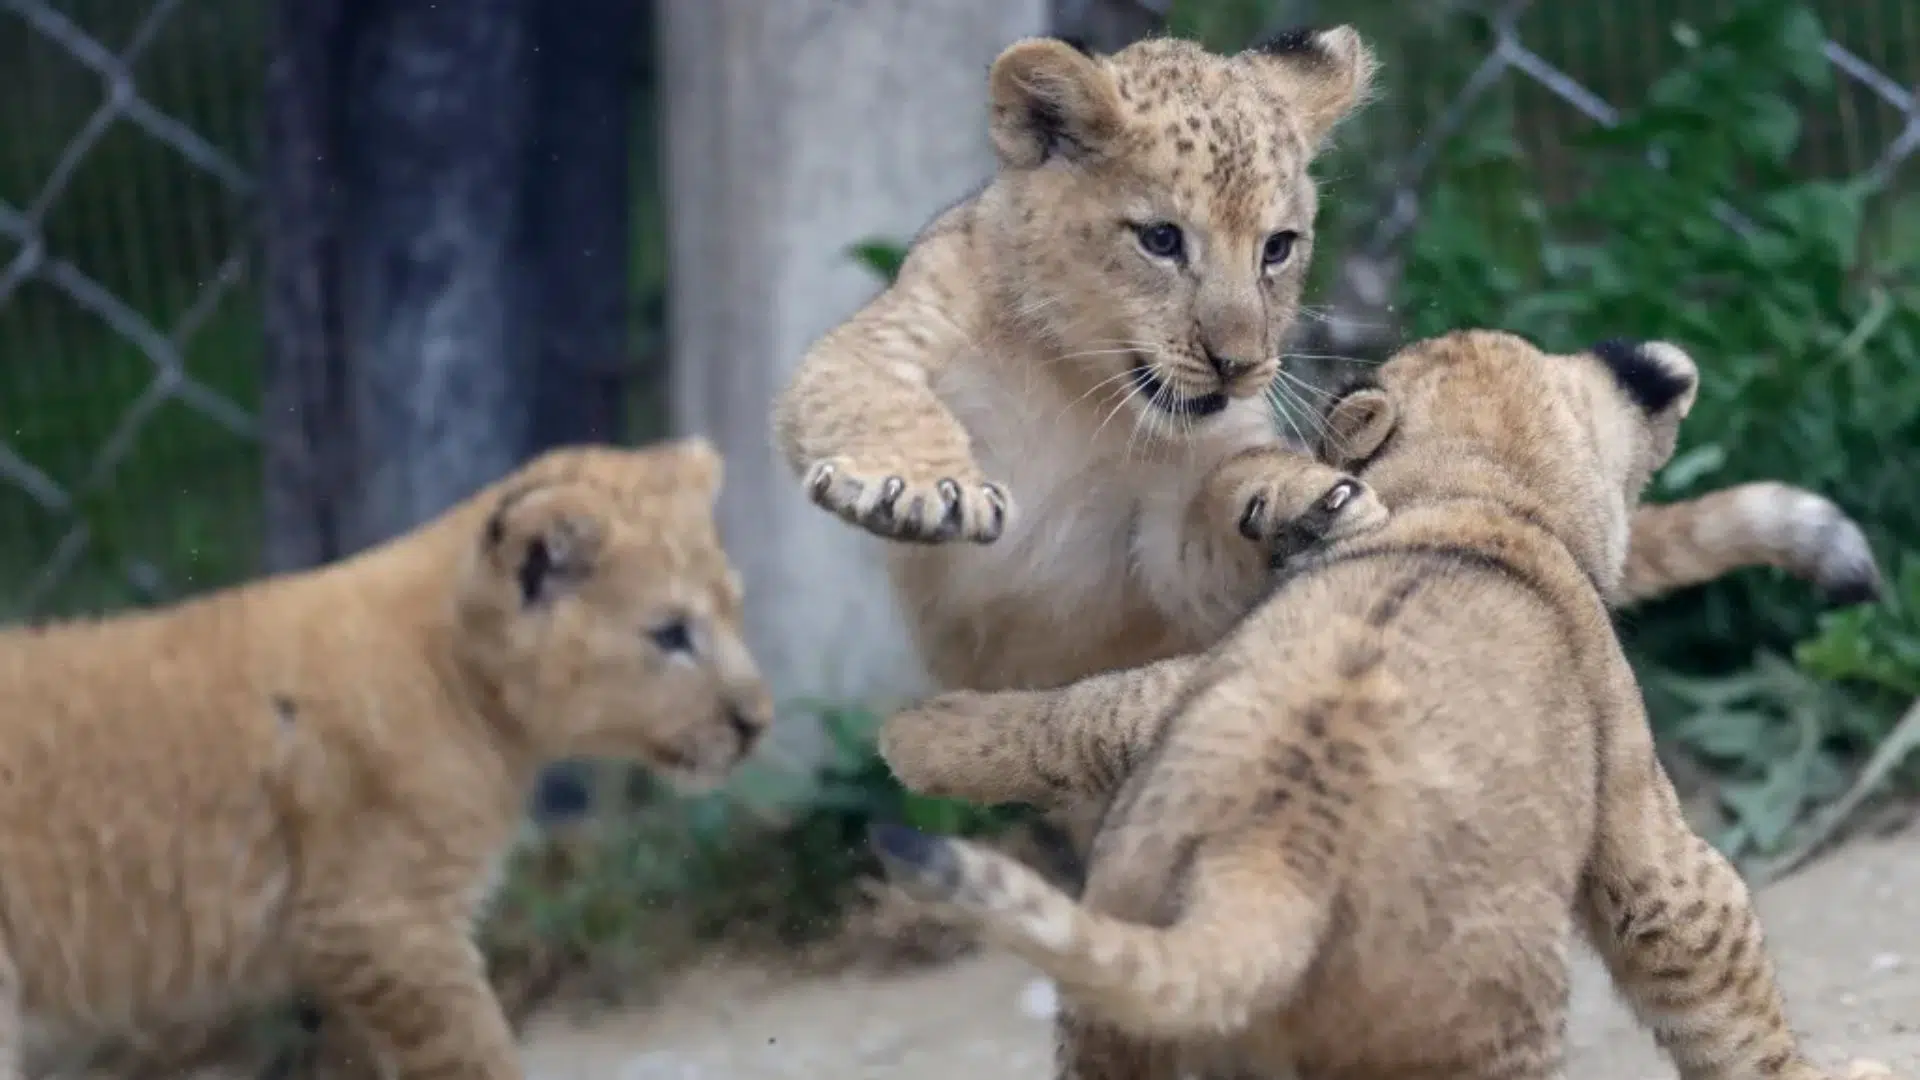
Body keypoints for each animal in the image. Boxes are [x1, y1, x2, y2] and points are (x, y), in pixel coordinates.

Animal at [0, 438, 772, 1080]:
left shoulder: (358, 951)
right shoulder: (386, 924)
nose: (758, 723)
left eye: (736, 608)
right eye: (670, 634)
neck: (463, 682)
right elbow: (478, 1059)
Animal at [769, 28, 1881, 701]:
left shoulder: (1163, 547)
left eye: (1279, 247)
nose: (1238, 365)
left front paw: (1301, 502)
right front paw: (919, 488)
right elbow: (860, 389)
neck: (1081, 387)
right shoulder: (897, 330)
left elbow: (1213, 522)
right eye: (1161, 240)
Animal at [871, 332, 1836, 1080]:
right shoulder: (1637, 818)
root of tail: (1268, 865)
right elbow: (1710, 956)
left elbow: (1082, 712)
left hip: (1119, 1015)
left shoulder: (1211, 668)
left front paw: (916, 736)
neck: (1476, 498)